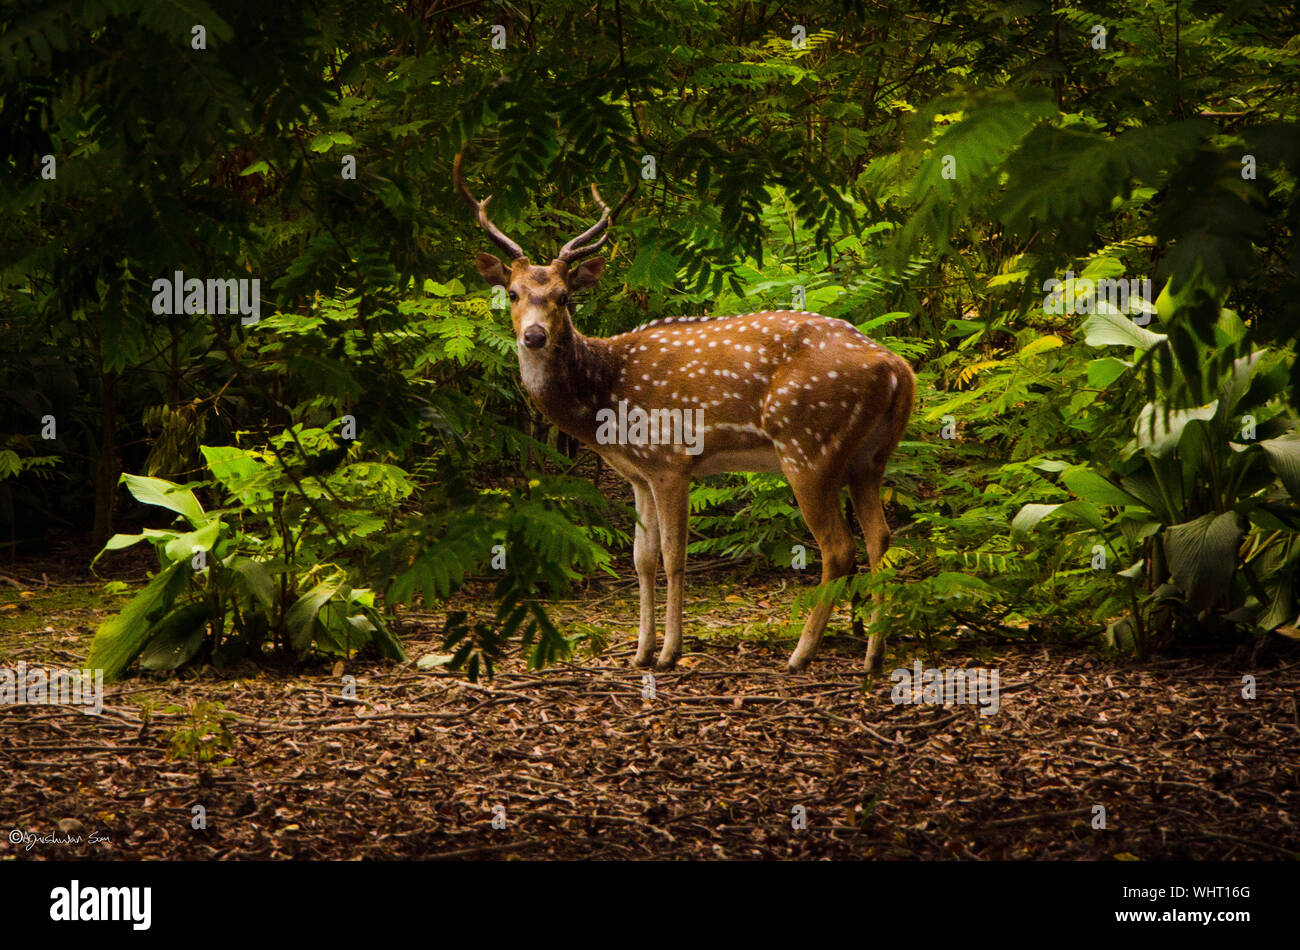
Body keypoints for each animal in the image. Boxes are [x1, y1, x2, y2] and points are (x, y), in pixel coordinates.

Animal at [454, 150, 914, 673]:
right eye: (511, 293)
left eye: (563, 297)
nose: (534, 336)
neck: (603, 398)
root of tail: (897, 367)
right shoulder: (638, 474)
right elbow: (641, 558)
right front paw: (639, 651)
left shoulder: (670, 459)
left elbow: (674, 557)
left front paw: (669, 653)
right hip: (869, 457)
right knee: (881, 538)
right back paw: (873, 654)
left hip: (808, 445)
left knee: (838, 548)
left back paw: (801, 654)